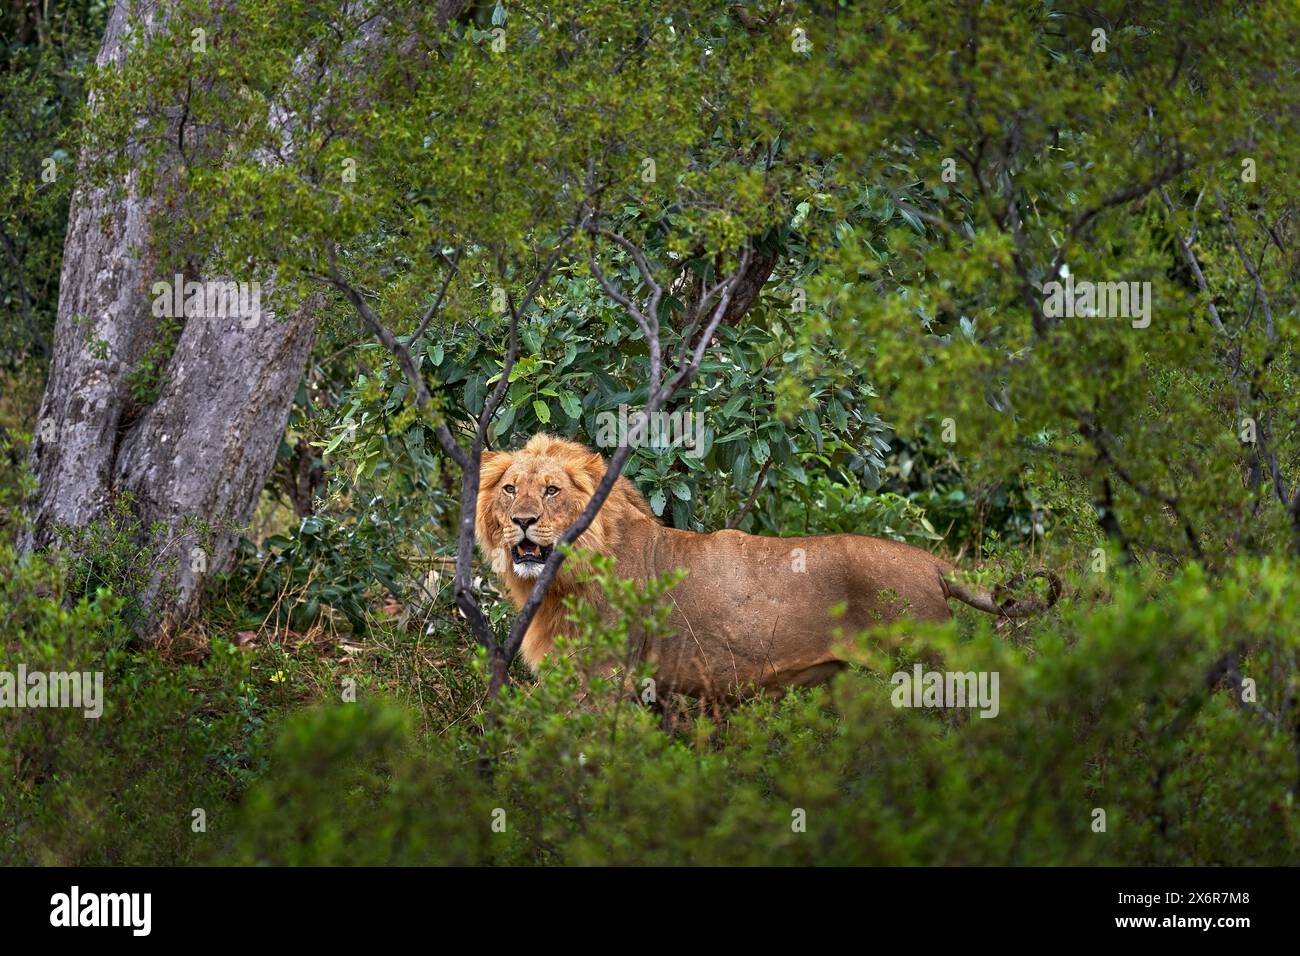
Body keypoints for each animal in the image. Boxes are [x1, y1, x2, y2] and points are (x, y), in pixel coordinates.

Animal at [476, 433, 1060, 698]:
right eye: (510, 489)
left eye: (551, 491)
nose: (523, 521)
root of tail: (931, 561)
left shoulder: (602, 679)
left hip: (927, 673)